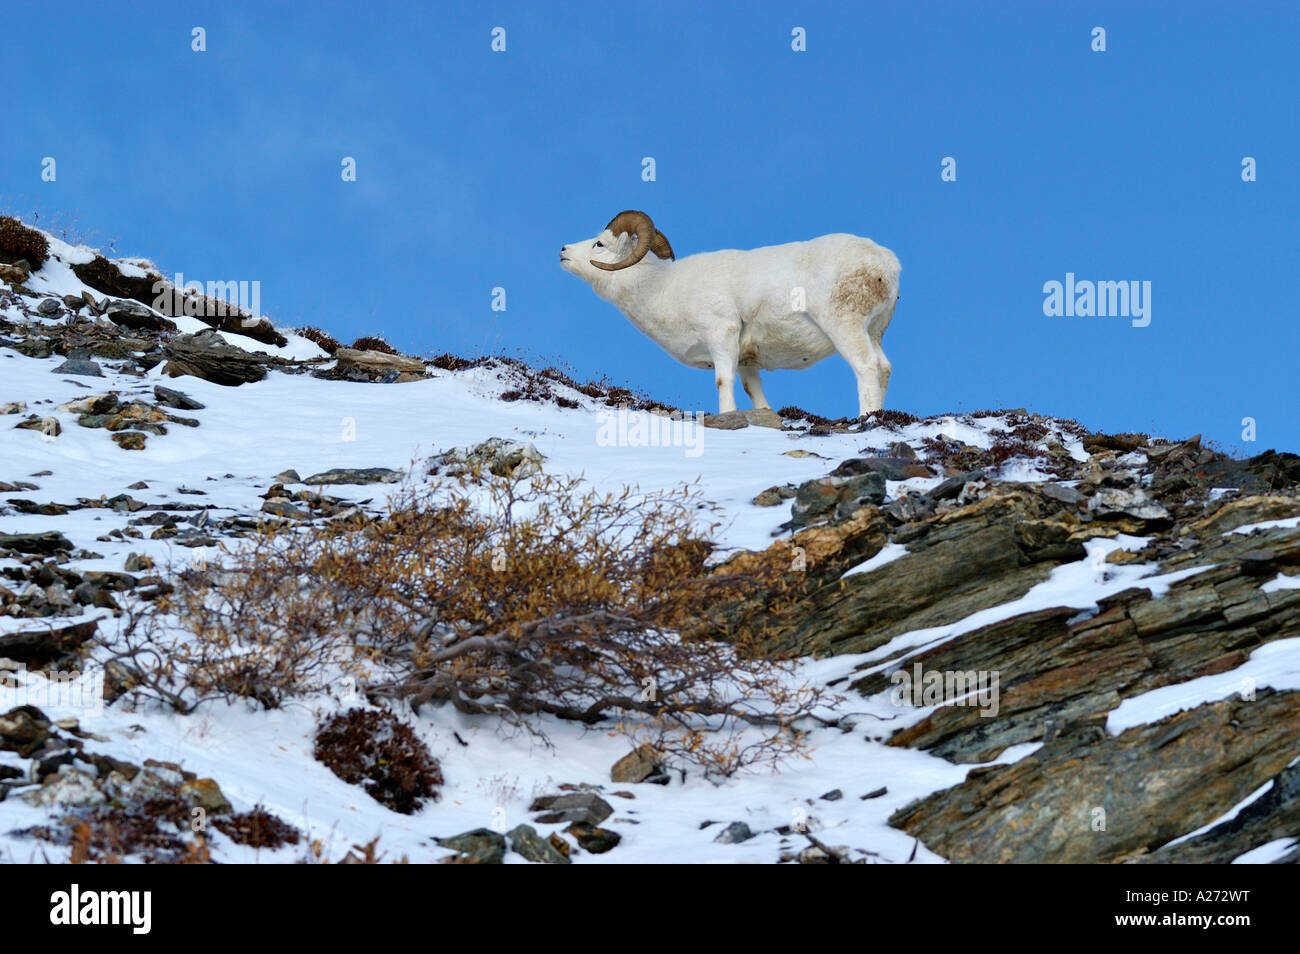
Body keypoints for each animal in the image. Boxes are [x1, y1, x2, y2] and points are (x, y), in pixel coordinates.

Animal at [560, 210, 900, 416]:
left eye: (599, 243)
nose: (563, 251)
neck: (661, 288)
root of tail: (885, 262)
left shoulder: (721, 337)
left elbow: (723, 383)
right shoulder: (747, 360)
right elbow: (755, 393)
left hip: (845, 327)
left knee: (867, 367)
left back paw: (866, 417)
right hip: (875, 331)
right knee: (883, 367)